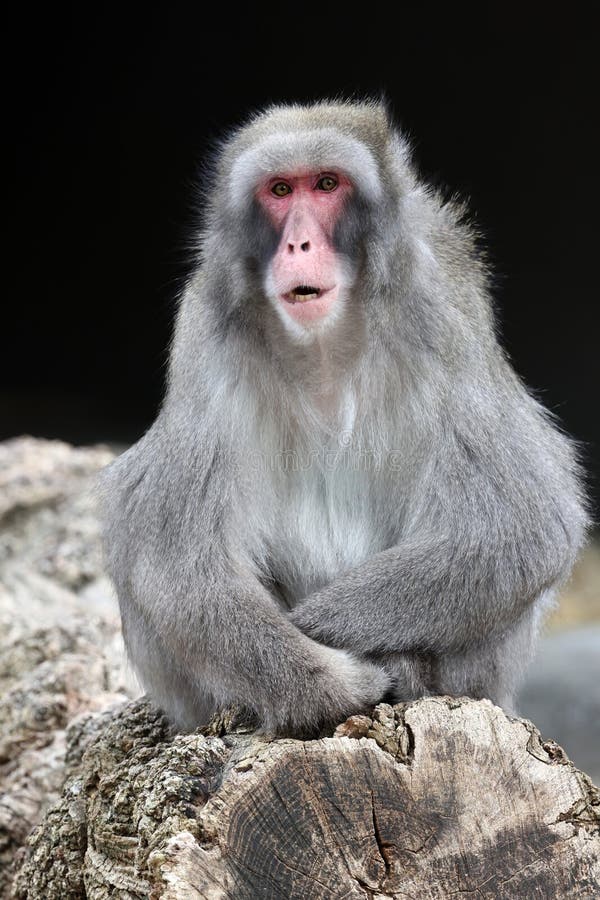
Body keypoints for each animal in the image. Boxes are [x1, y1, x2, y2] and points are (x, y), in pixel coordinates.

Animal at [100, 100, 588, 737]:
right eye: (281, 190)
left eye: (327, 184)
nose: (300, 244)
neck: (324, 347)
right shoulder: (203, 333)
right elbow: (172, 559)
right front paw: (324, 683)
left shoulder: (440, 310)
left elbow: (525, 522)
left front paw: (321, 628)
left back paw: (411, 673)